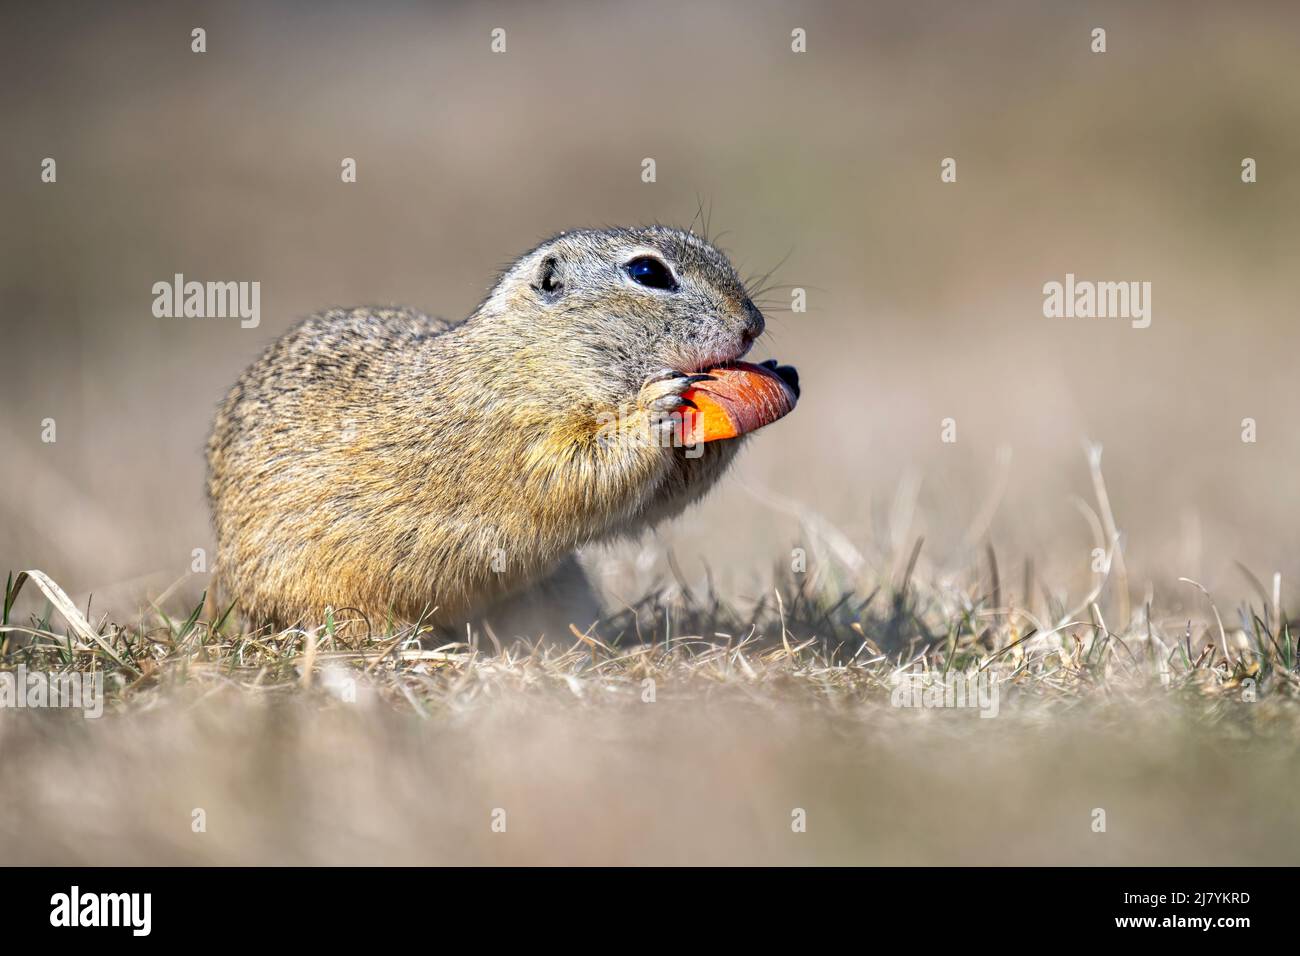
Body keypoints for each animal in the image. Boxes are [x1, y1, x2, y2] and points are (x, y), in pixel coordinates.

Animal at [205, 226, 799, 638]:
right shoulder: (514, 430)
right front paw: (655, 409)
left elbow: (651, 500)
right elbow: (573, 474)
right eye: (649, 273)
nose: (754, 324)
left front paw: (774, 380)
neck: (538, 353)